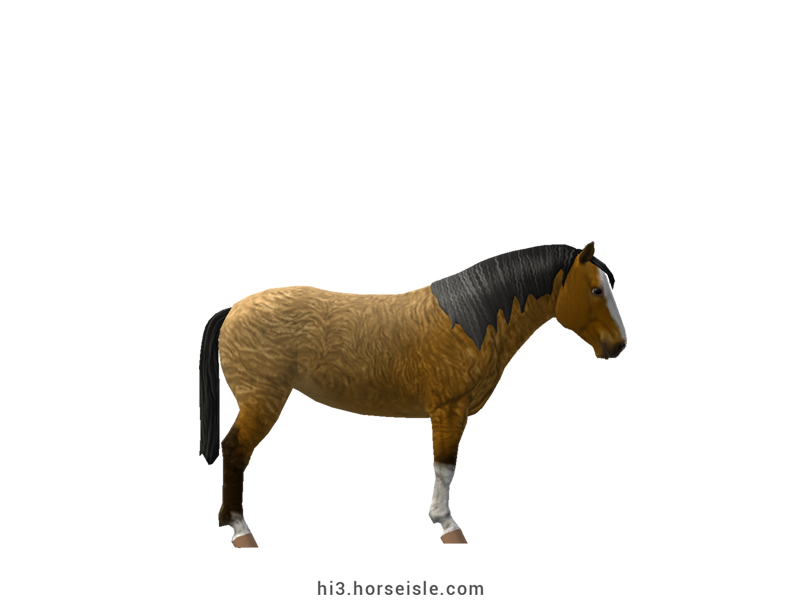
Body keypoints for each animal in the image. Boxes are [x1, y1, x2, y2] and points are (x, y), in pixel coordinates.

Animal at [200, 243, 626, 540]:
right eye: (595, 290)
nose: (618, 345)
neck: (468, 321)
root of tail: (234, 310)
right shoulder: (450, 407)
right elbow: (445, 462)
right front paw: (446, 523)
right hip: (260, 400)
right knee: (234, 451)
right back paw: (239, 528)